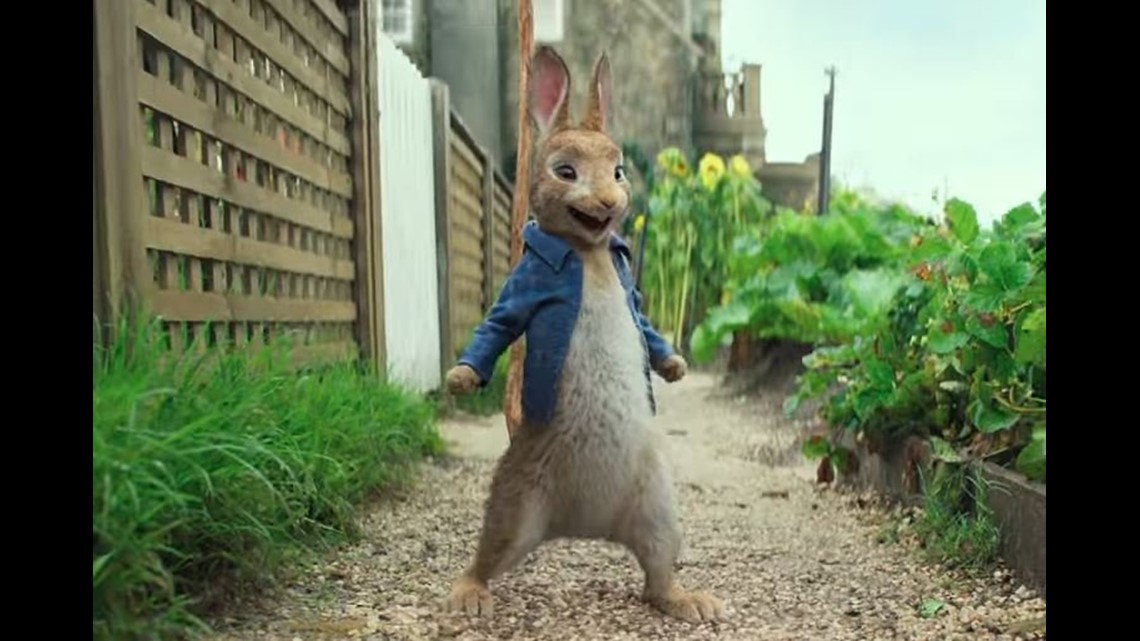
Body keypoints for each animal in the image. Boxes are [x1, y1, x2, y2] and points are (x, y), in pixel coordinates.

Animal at [441, 45, 724, 624]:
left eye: (619, 170)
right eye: (565, 171)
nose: (609, 203)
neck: (589, 252)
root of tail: (584, 526)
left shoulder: (632, 297)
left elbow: (647, 327)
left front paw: (675, 366)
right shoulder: (522, 287)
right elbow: (498, 324)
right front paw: (460, 378)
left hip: (658, 509)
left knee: (656, 577)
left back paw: (689, 601)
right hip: (516, 503)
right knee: (488, 554)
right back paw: (469, 594)